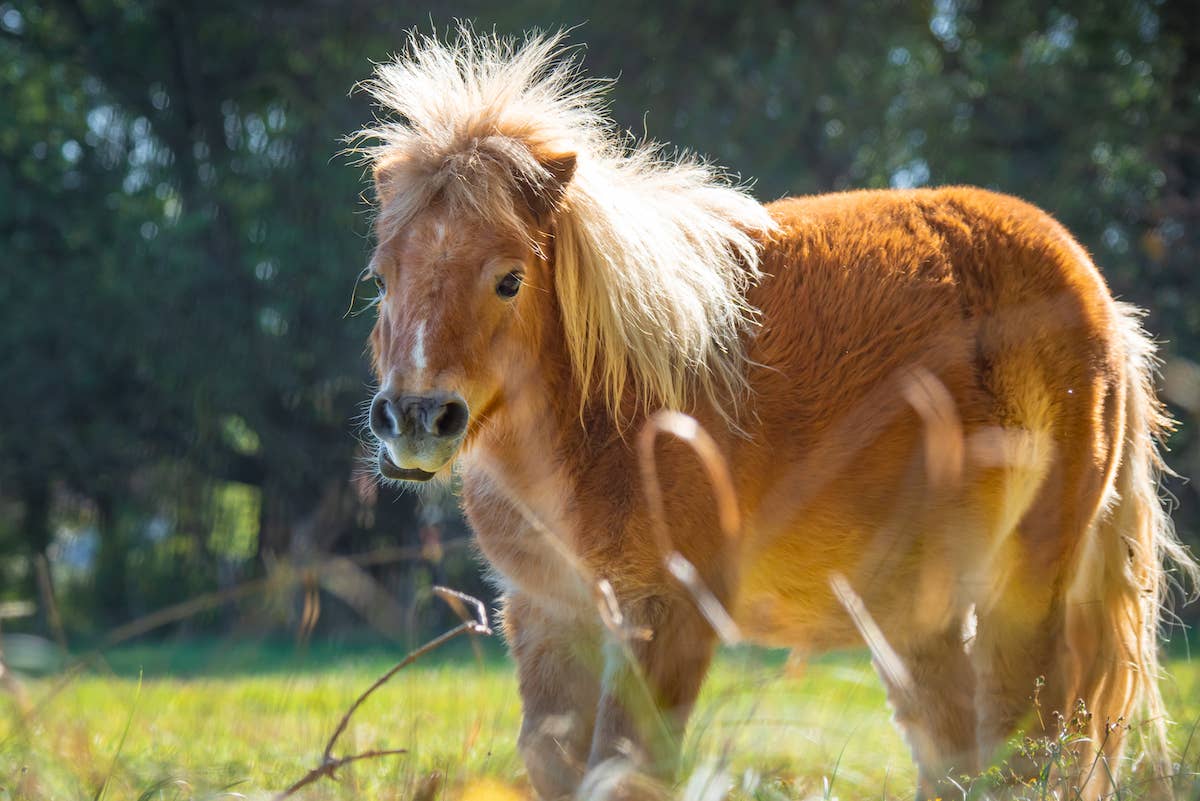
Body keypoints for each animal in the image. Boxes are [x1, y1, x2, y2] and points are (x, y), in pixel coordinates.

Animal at [350, 28, 1196, 801]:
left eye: (509, 279)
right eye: (384, 277)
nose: (417, 417)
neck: (608, 414)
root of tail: (1100, 301)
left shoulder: (666, 613)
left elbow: (624, 770)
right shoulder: (552, 614)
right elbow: (555, 762)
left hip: (1023, 597)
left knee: (1033, 750)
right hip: (920, 618)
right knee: (962, 757)